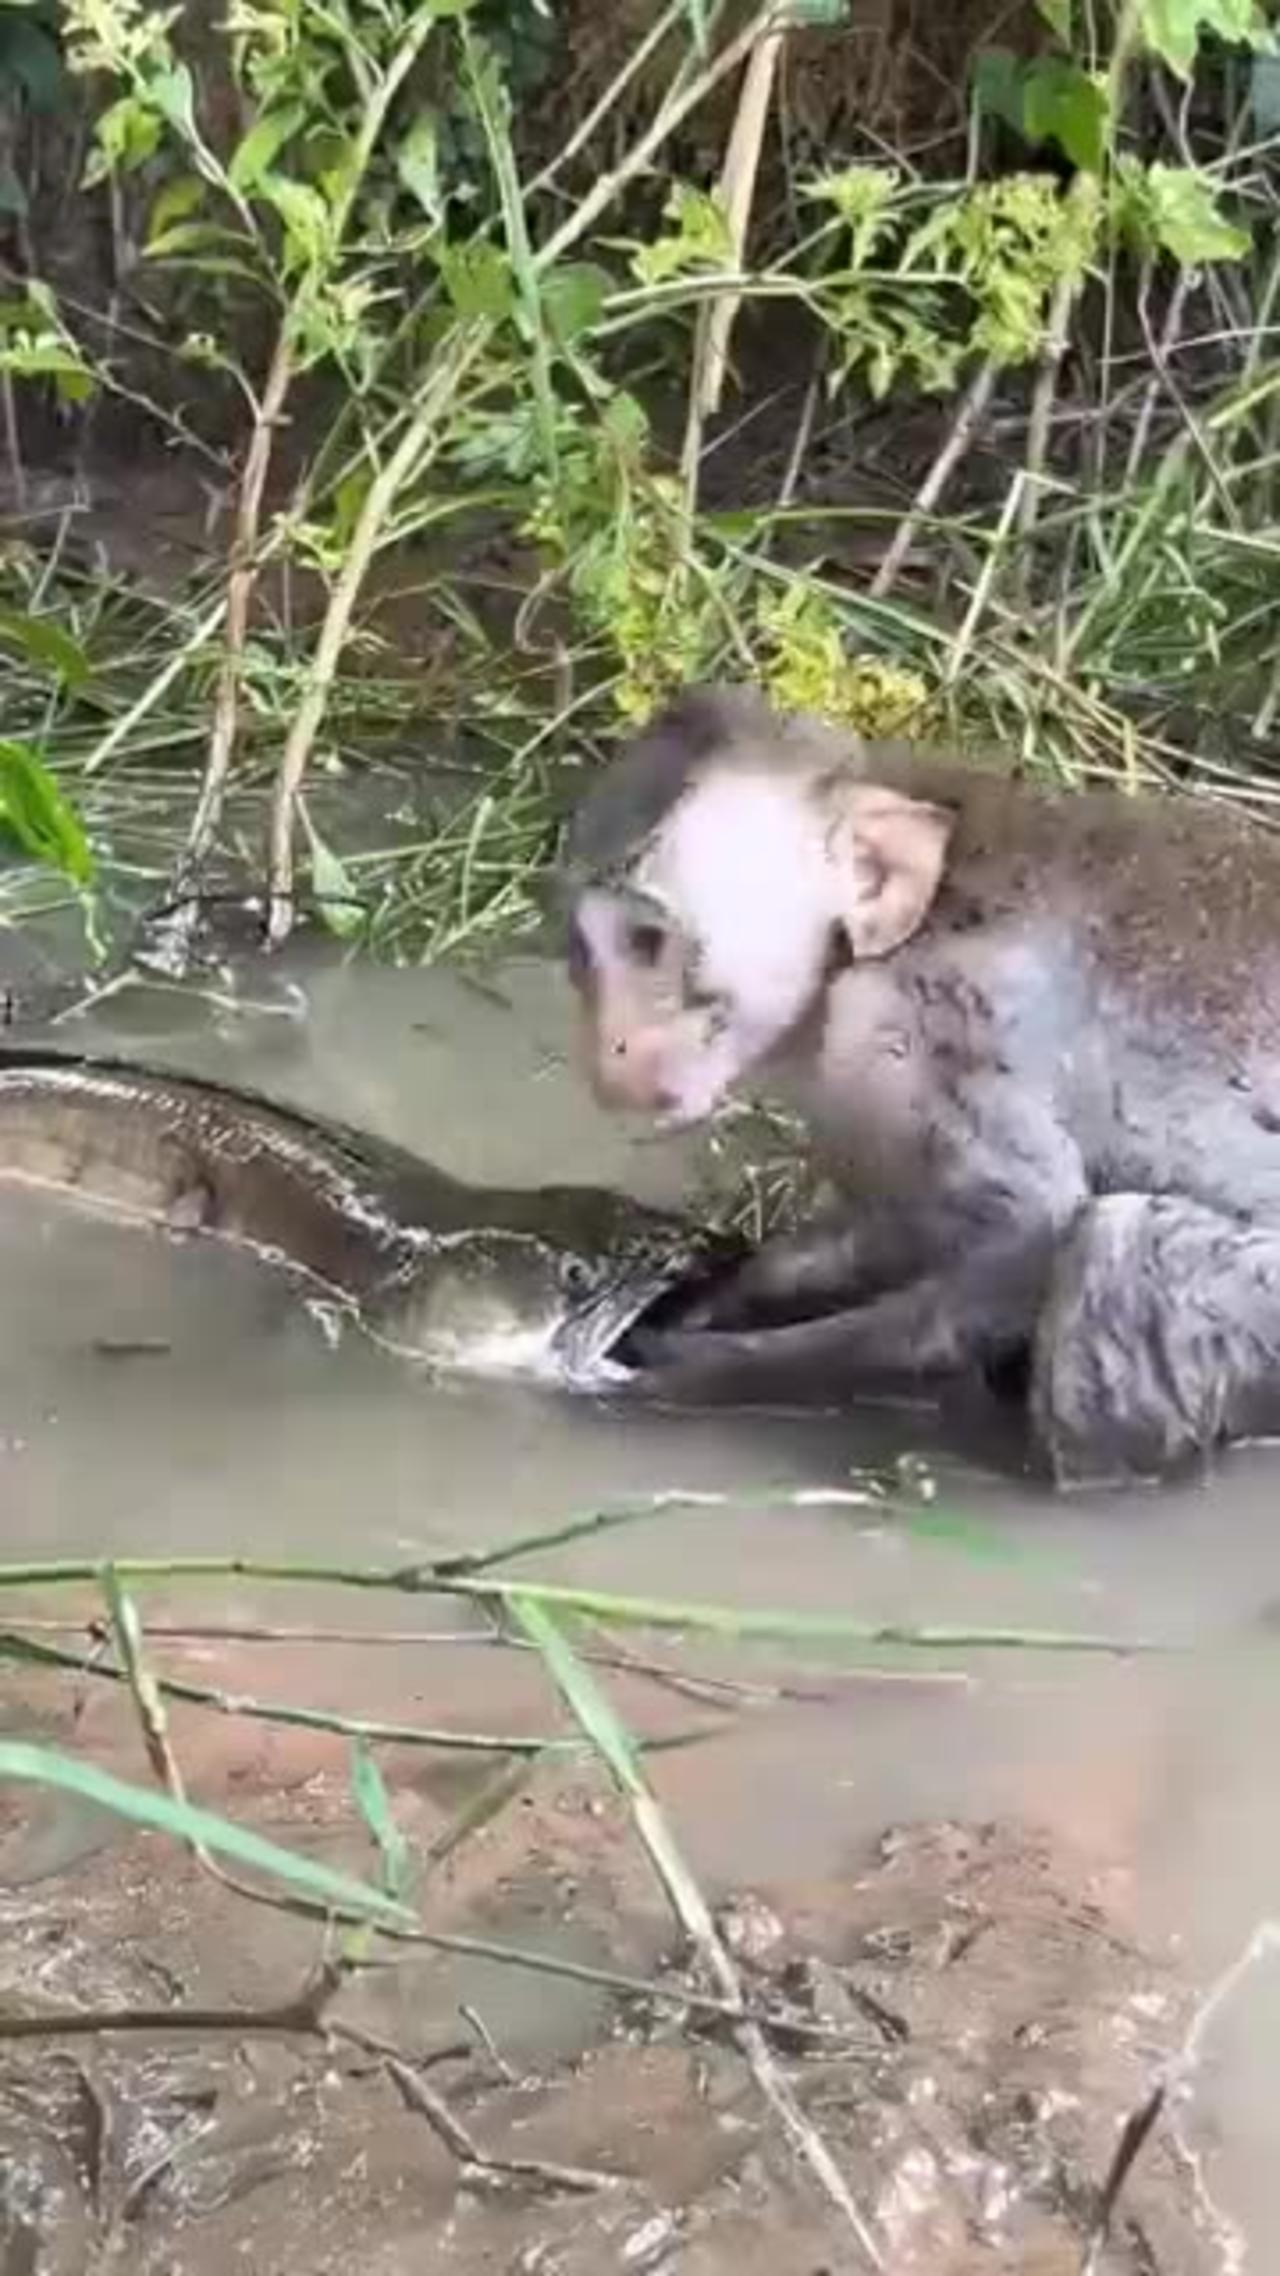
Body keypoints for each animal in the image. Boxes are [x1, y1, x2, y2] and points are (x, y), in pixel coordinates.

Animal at [560, 681, 1280, 1487]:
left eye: (647, 942)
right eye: (584, 952)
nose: (610, 1045)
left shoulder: (918, 1025)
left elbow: (1022, 1239)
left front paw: (697, 1368)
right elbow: (902, 1224)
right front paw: (724, 1292)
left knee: (1120, 1248)